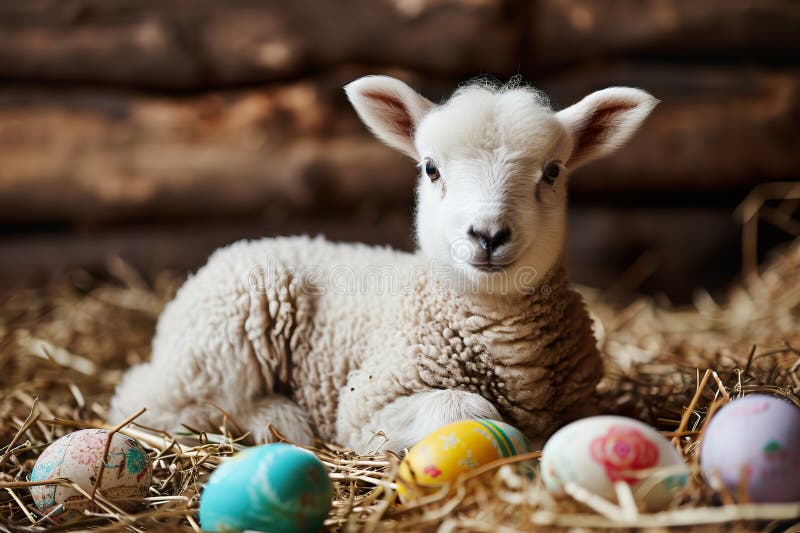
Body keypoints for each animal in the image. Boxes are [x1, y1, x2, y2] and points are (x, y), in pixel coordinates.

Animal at [109, 76, 657, 453]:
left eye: (553, 171)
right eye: (431, 168)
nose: (488, 235)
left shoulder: (580, 402)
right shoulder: (365, 405)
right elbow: (461, 405)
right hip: (223, 332)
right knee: (151, 400)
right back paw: (279, 418)